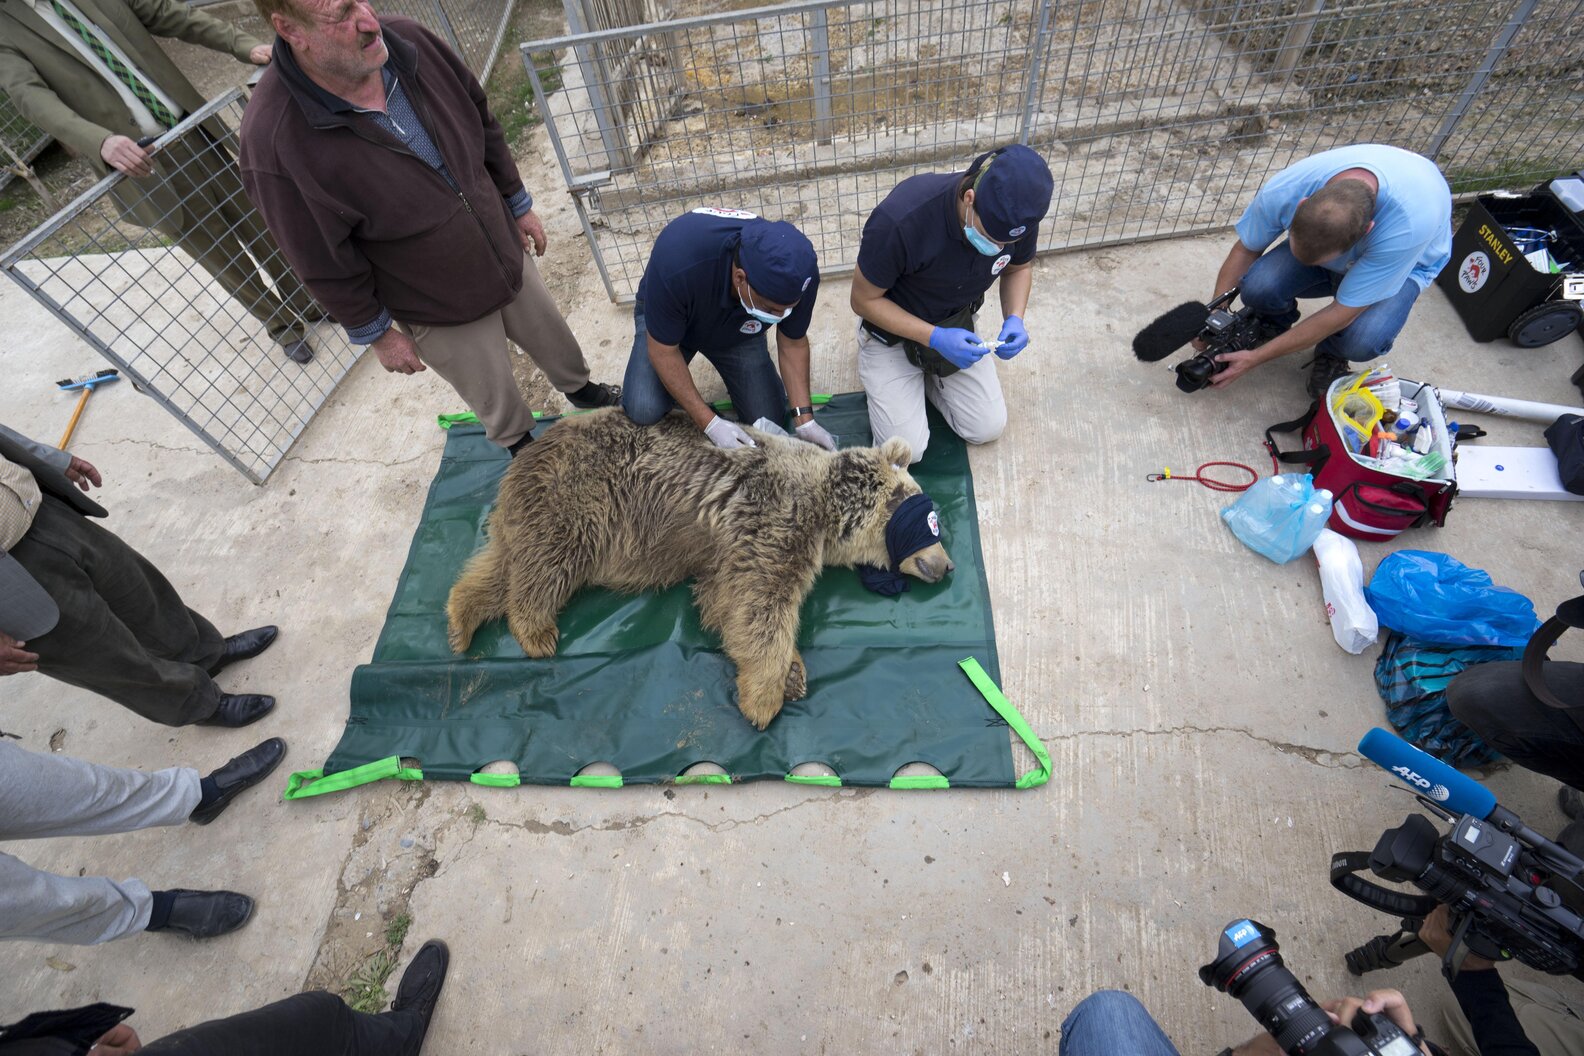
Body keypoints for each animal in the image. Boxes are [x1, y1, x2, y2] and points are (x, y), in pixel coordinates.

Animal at [445, 409, 954, 729]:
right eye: (930, 522)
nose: (947, 565)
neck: (826, 509)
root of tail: (522, 461)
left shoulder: (728, 549)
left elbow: (724, 601)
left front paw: (791, 674)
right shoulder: (773, 520)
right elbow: (759, 603)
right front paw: (764, 698)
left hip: (531, 514)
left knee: (503, 565)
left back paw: (460, 620)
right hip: (580, 498)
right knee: (547, 563)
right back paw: (535, 631)